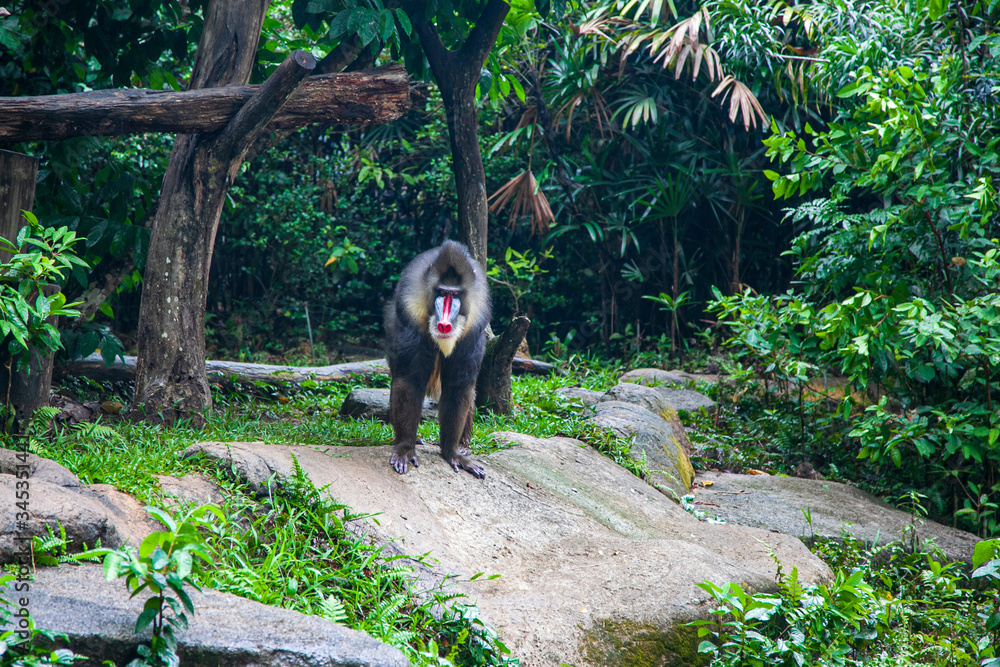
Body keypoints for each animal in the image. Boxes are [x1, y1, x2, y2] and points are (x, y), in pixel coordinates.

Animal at [384, 240, 491, 479]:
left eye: (456, 294)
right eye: (442, 293)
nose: (444, 325)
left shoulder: (472, 331)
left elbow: (459, 387)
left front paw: (453, 453)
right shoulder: (411, 313)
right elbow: (409, 382)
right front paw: (405, 448)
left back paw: (463, 445)